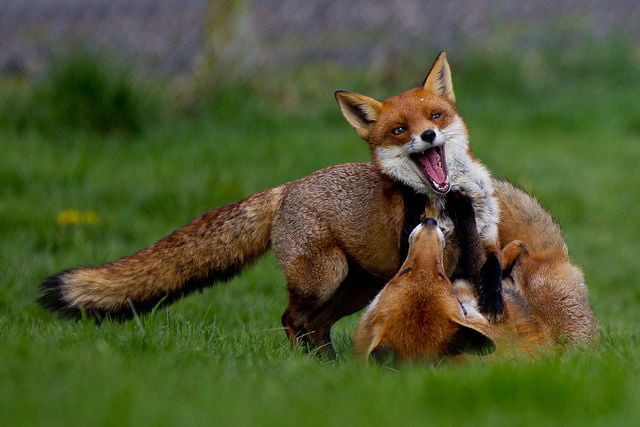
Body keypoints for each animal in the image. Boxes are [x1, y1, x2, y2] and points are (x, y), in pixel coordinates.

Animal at [38, 51, 502, 356]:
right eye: (399, 130)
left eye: (436, 116)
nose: (428, 136)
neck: (449, 197)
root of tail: (288, 186)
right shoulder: (424, 246)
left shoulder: (483, 244)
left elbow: (491, 271)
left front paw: (494, 309)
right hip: (325, 278)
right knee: (293, 320)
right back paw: (312, 368)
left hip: (359, 286)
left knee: (316, 325)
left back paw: (330, 367)